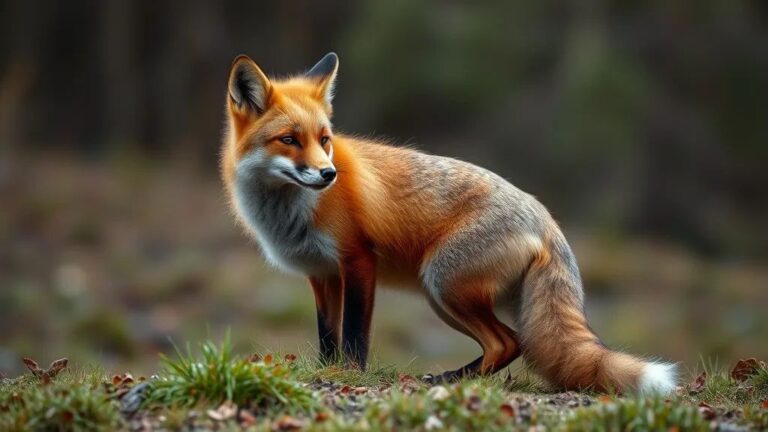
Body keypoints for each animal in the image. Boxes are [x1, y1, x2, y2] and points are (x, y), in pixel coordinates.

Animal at [220, 52, 677, 393]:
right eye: (290, 140)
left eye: (324, 139)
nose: (329, 174)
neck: (290, 212)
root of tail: (545, 218)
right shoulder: (323, 274)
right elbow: (328, 338)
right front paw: (327, 372)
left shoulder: (358, 262)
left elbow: (354, 336)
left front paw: (350, 376)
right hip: (446, 296)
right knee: (512, 344)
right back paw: (456, 378)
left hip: (442, 283)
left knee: (506, 343)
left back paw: (449, 379)